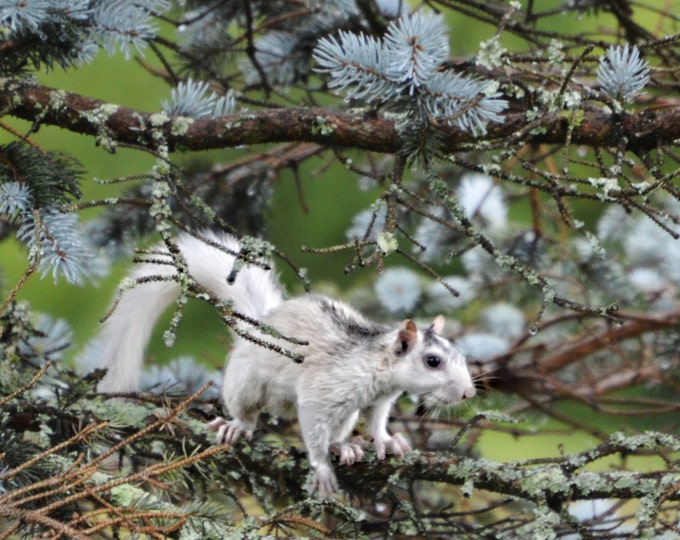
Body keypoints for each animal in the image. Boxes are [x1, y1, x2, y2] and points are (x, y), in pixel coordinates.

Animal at [96, 231, 477, 496]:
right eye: (432, 361)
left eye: (461, 357)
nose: (469, 393)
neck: (376, 366)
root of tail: (259, 325)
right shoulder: (324, 391)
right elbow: (313, 425)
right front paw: (321, 467)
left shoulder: (378, 400)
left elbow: (376, 421)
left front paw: (386, 441)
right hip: (245, 382)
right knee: (246, 409)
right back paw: (238, 426)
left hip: (344, 414)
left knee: (337, 430)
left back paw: (343, 446)